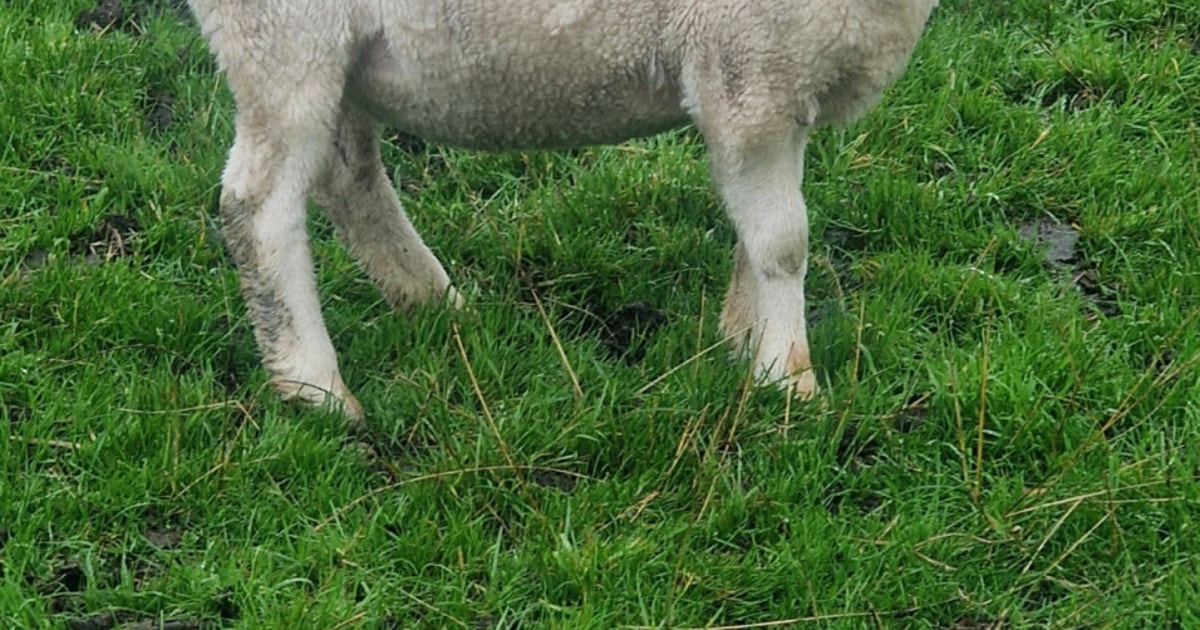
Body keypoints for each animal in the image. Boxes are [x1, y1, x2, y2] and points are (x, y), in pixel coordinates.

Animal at [186, 0, 939, 423]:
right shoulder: (751, 69)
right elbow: (784, 241)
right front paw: (788, 380)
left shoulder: (779, 85)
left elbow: (753, 238)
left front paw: (741, 338)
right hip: (283, 39)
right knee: (257, 202)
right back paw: (315, 388)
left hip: (336, 57)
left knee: (348, 177)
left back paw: (434, 302)